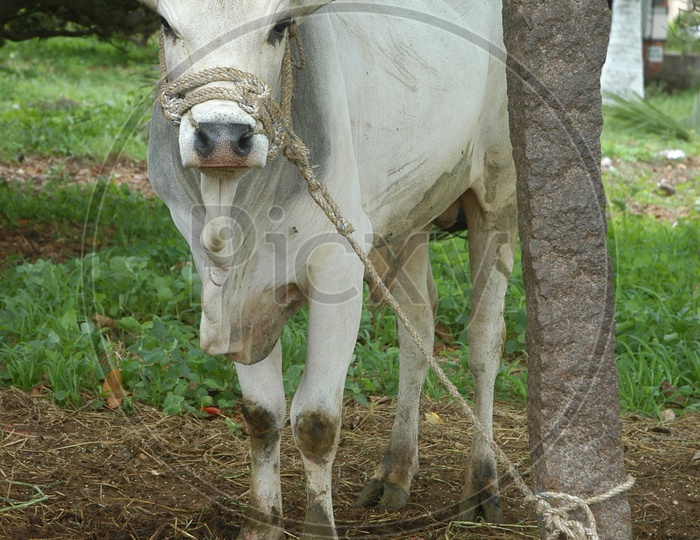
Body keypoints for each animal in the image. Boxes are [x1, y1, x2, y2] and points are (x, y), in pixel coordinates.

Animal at [139, 0, 516, 538]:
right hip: (408, 215)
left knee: (486, 339)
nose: (223, 137)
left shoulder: (338, 271)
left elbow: (316, 421)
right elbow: (261, 414)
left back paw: (483, 486)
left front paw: (318, 525)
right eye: (166, 25)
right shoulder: (224, 282)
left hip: (497, 196)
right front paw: (262, 523)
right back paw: (394, 471)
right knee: (418, 324)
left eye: (279, 28)